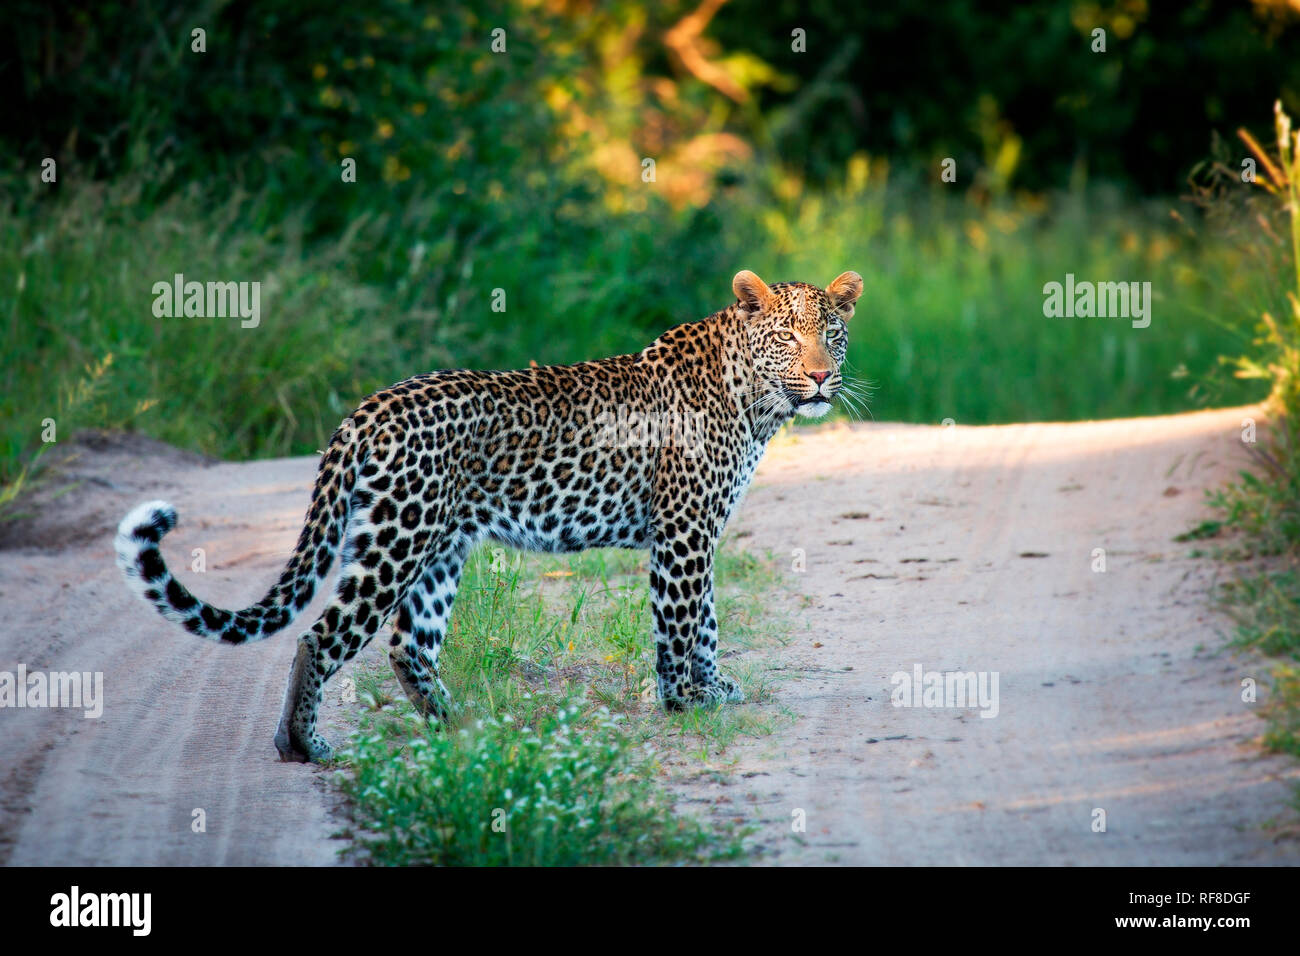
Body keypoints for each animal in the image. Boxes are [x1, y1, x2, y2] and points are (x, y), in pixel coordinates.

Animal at [115, 268, 863, 763]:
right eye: (787, 337)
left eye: (831, 334)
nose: (822, 377)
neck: (755, 399)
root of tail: (369, 408)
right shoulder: (682, 530)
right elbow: (683, 623)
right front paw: (686, 701)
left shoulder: (695, 531)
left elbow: (703, 621)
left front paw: (709, 692)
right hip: (397, 539)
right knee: (323, 634)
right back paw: (303, 743)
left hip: (440, 548)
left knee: (408, 644)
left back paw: (460, 725)